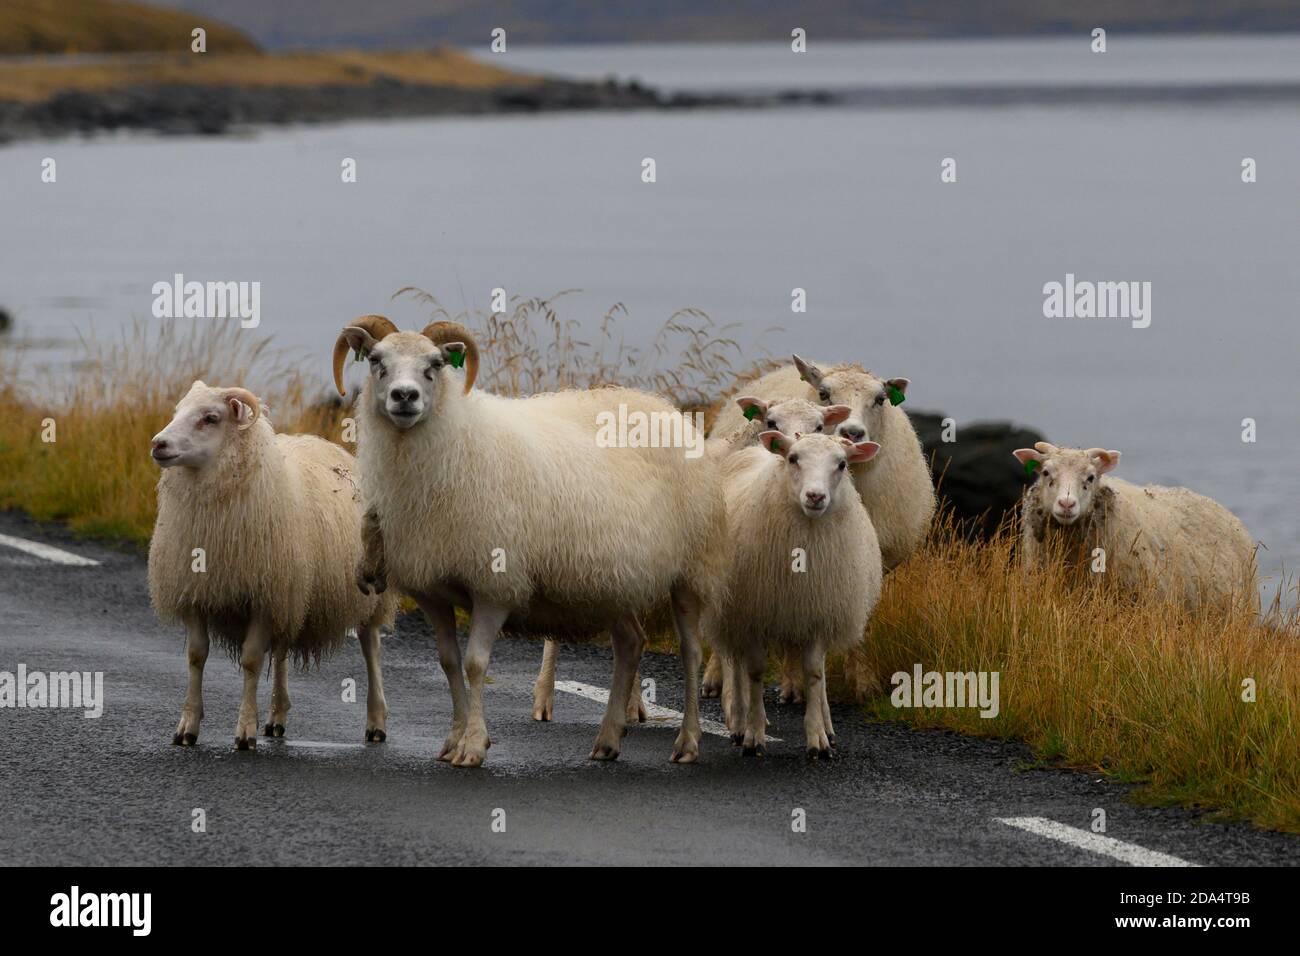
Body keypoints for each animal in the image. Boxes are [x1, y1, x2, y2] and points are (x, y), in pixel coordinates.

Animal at [148, 381, 397, 750]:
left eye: (210, 418)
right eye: (178, 411)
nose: (158, 444)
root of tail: (332, 448)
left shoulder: (264, 597)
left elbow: (251, 660)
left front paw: (244, 731)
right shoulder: (198, 592)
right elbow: (196, 656)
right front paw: (187, 727)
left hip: (365, 592)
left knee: (371, 649)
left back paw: (376, 722)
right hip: (291, 593)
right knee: (281, 649)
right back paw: (277, 716)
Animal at [332, 315, 727, 767]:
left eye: (435, 364)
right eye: (376, 361)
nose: (404, 396)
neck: (453, 439)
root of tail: (667, 410)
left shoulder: (495, 585)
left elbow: (475, 664)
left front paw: (473, 746)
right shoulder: (433, 592)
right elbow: (448, 662)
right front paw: (454, 740)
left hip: (691, 570)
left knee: (690, 651)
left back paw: (687, 742)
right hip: (612, 581)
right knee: (630, 642)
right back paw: (608, 740)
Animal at [707, 430, 883, 758]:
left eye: (842, 464)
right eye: (793, 458)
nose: (815, 496)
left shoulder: (816, 610)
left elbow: (814, 673)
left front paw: (819, 739)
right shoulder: (753, 614)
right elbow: (754, 672)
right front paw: (753, 735)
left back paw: (827, 724)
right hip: (730, 613)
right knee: (735, 665)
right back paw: (738, 721)